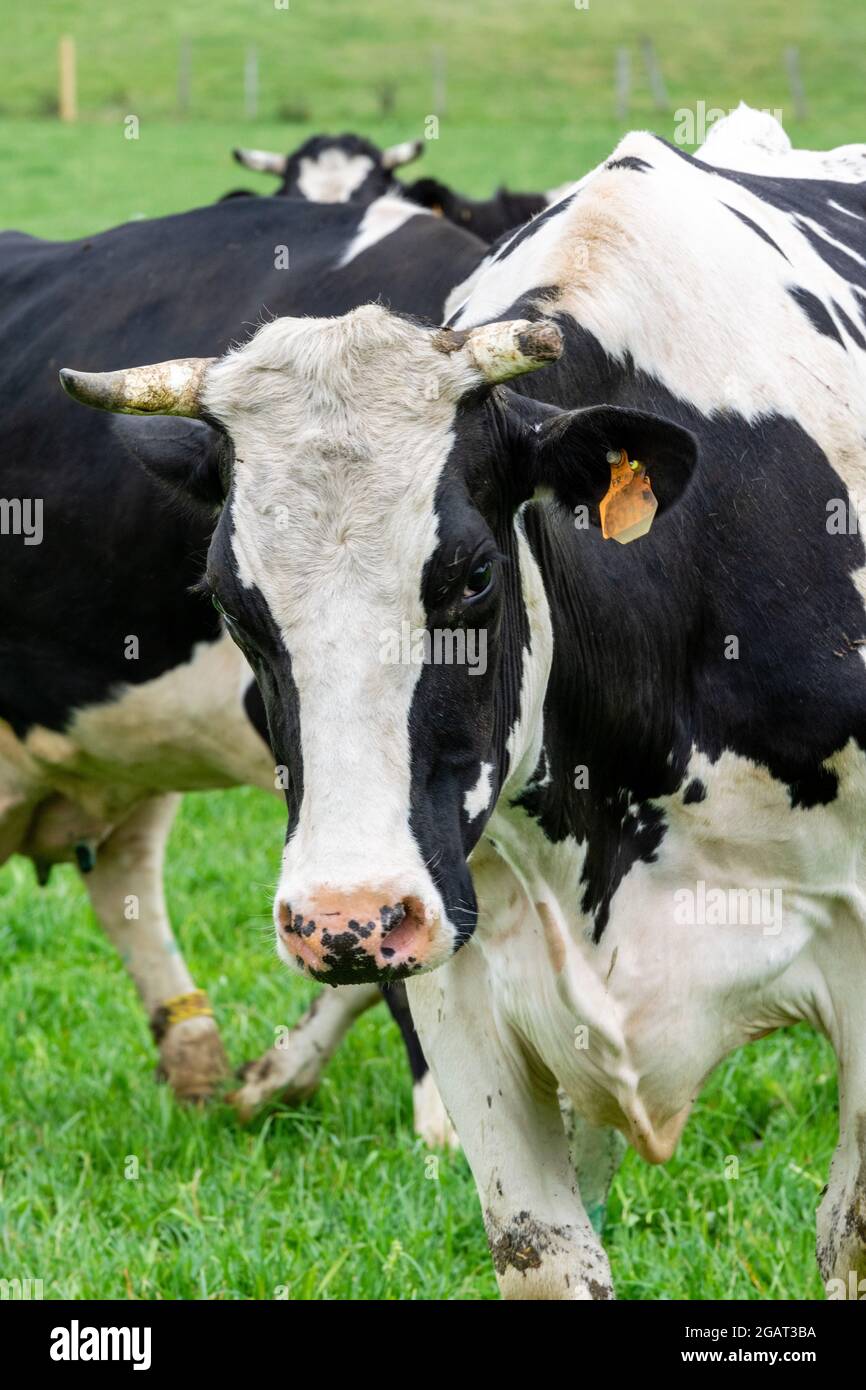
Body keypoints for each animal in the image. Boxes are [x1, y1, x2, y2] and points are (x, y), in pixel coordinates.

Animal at [0, 190, 484, 1145]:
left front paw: (279, 1074)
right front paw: (444, 1126)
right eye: (225, 601)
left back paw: (196, 1060)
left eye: (469, 577)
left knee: (124, 880)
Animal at [60, 107, 866, 1299]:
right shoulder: (470, 985)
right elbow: (542, 1251)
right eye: (229, 598)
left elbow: (844, 1231)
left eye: (475, 576)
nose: (345, 918)